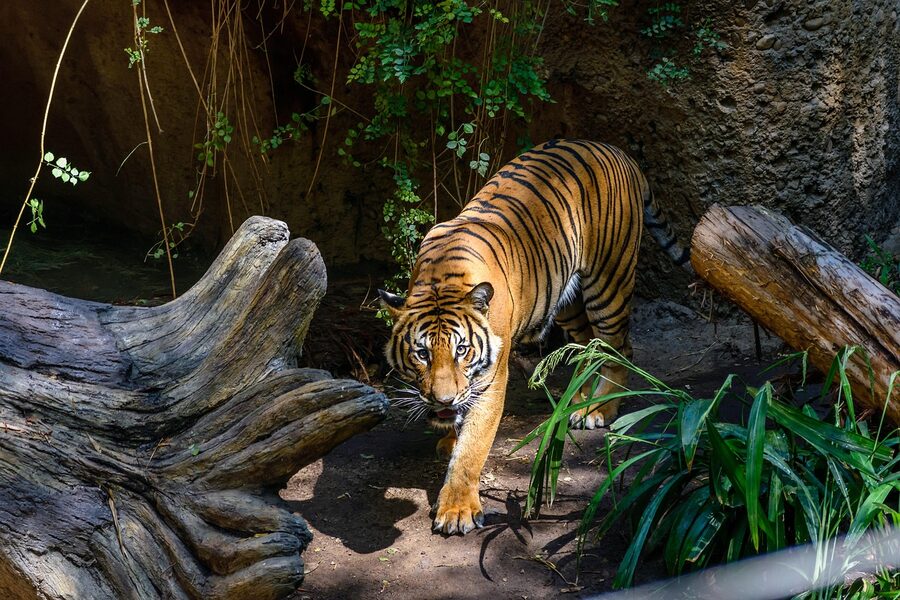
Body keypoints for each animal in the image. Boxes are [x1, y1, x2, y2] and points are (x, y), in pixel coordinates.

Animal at [379, 139, 690, 535]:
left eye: (462, 350)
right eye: (422, 354)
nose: (443, 399)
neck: (441, 280)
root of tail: (616, 149)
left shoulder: (491, 378)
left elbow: (473, 446)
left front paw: (456, 509)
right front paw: (449, 436)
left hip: (609, 279)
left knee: (620, 348)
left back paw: (600, 410)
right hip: (564, 296)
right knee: (588, 346)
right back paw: (581, 400)